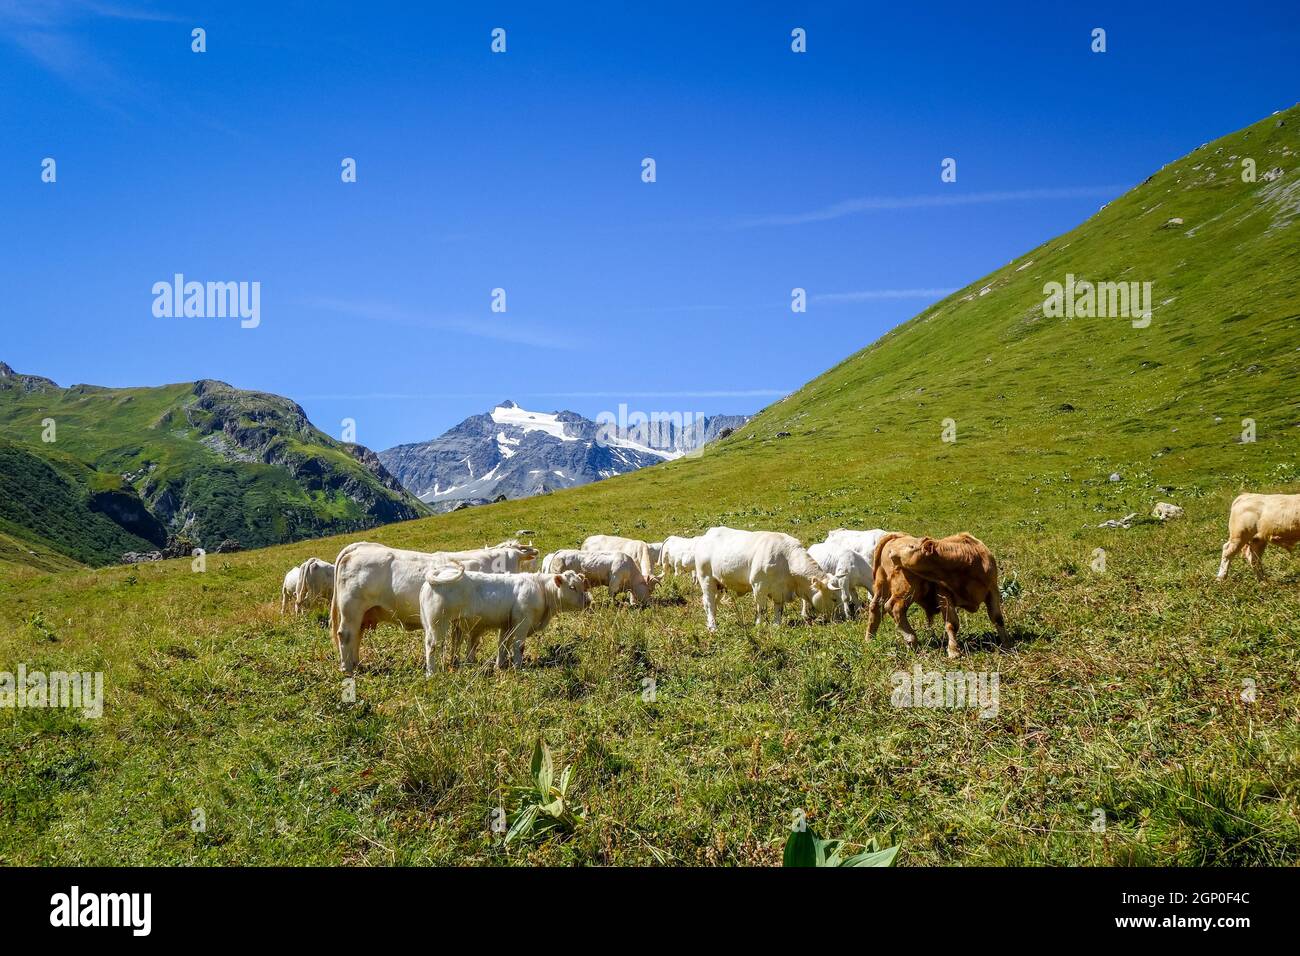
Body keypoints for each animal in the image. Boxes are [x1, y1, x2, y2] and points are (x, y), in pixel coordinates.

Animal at [328, 541, 539, 673]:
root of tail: (359, 547)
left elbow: (458, 640)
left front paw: (455, 661)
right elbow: (473, 640)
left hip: (363, 613)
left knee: (356, 636)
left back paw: (356, 663)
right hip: (351, 609)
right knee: (345, 635)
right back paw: (347, 668)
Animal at [419, 565, 590, 672]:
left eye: (583, 585)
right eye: (572, 587)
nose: (588, 601)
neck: (541, 589)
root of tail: (438, 575)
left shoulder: (507, 625)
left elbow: (503, 645)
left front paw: (499, 666)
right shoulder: (522, 623)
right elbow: (518, 646)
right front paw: (517, 667)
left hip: (443, 625)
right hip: (438, 625)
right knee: (431, 646)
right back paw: (431, 672)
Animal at [693, 526, 840, 630]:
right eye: (834, 598)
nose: (839, 618)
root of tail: (707, 535)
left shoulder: (780, 590)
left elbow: (779, 608)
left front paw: (776, 625)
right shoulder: (759, 586)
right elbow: (761, 609)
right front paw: (759, 625)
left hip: (719, 584)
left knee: (712, 604)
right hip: (706, 579)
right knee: (709, 602)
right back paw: (713, 627)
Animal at [867, 532, 1009, 658]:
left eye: (912, 546)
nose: (892, 552)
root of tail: (896, 536)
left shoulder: (993, 590)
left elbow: (997, 618)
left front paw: (1007, 644)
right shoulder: (944, 594)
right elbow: (952, 624)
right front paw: (953, 651)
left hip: (882, 585)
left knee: (876, 607)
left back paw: (870, 639)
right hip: (907, 587)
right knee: (894, 607)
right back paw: (911, 640)